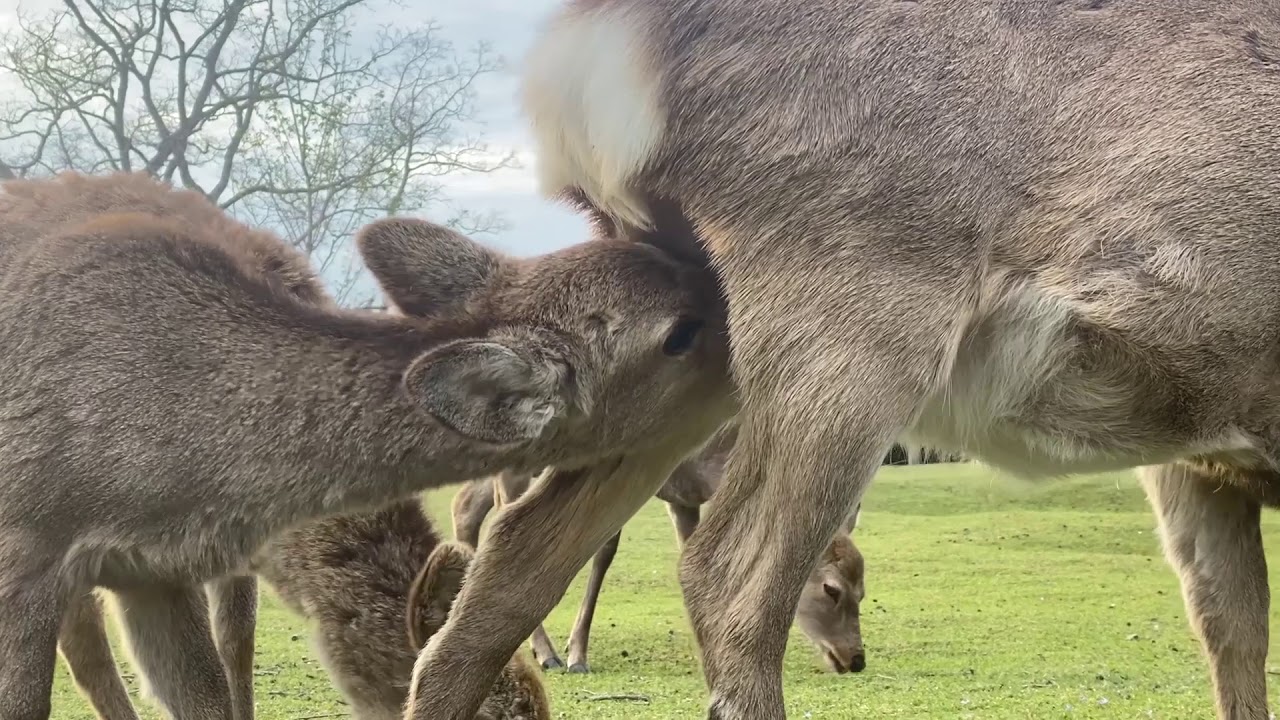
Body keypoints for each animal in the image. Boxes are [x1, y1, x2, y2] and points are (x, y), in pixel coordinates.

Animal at [452, 423, 867, 675]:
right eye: (832, 589)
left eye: (863, 590)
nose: (856, 658)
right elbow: (603, 548)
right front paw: (576, 656)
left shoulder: (684, 499)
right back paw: (544, 652)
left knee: (465, 506)